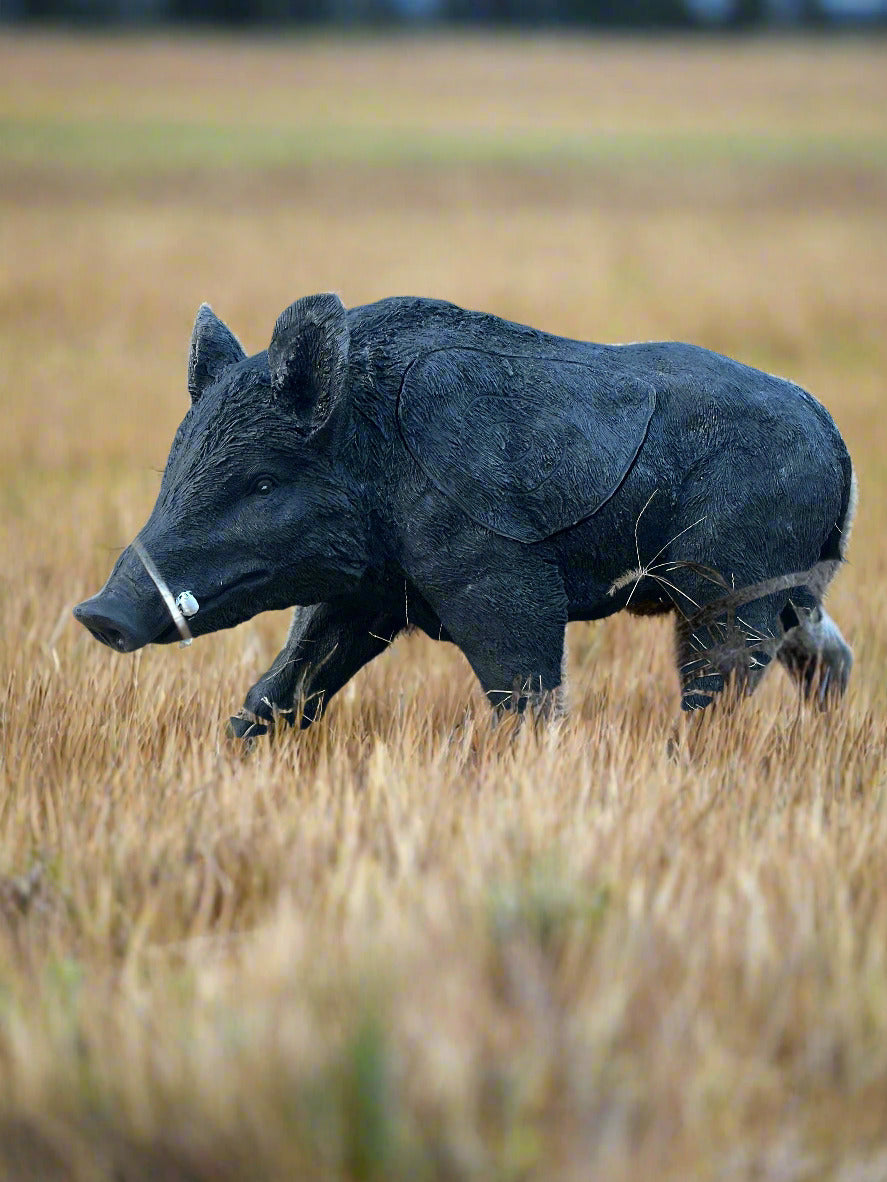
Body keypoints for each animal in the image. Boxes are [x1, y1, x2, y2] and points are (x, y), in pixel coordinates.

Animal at [73, 294, 855, 738]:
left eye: (263, 482)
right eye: (174, 466)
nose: (97, 613)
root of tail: (830, 426)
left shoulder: (496, 573)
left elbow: (522, 691)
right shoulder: (365, 594)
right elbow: (283, 684)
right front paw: (235, 746)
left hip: (733, 581)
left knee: (719, 684)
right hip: (795, 592)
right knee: (827, 658)